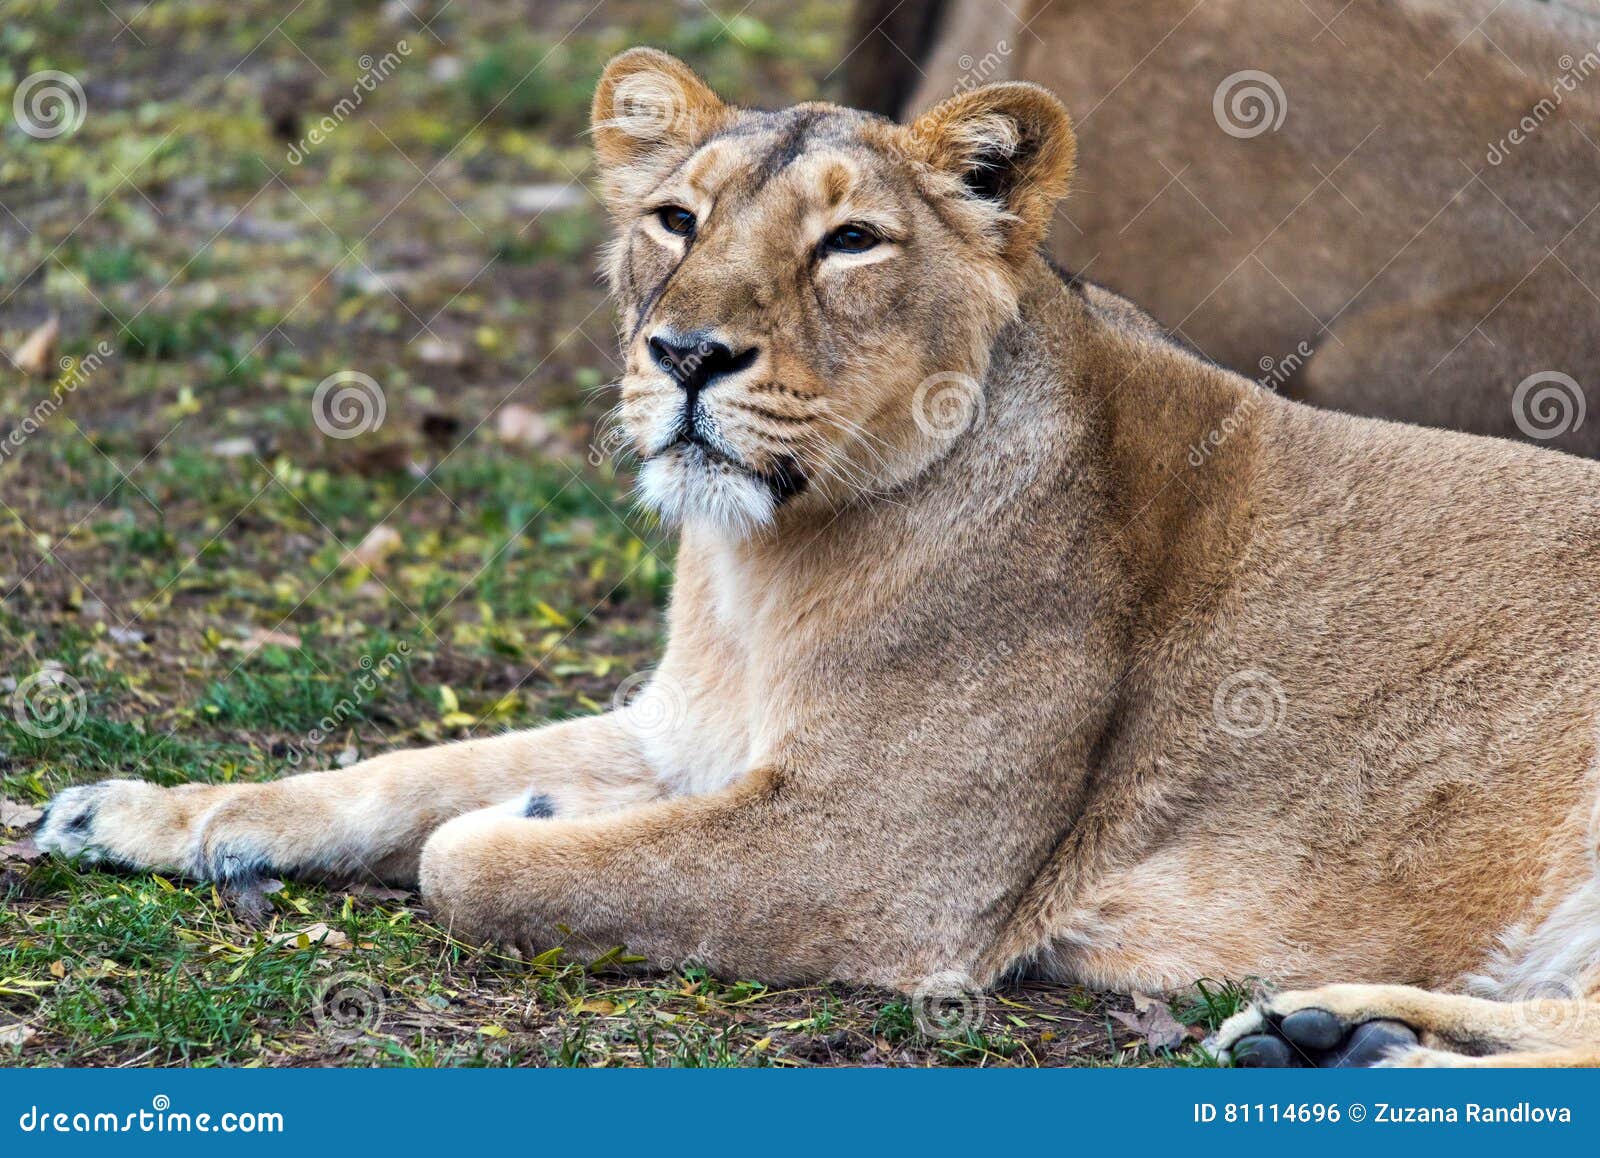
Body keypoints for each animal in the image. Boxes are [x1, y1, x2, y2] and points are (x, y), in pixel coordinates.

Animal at [34, 49, 1600, 1067]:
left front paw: (530, 819)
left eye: (850, 241)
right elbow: (394, 773)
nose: (686, 353)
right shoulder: (679, 734)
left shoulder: (877, 856)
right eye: (676, 218)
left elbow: (465, 859)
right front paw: (143, 812)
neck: (759, 571)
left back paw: (1352, 1048)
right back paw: (1333, 1032)